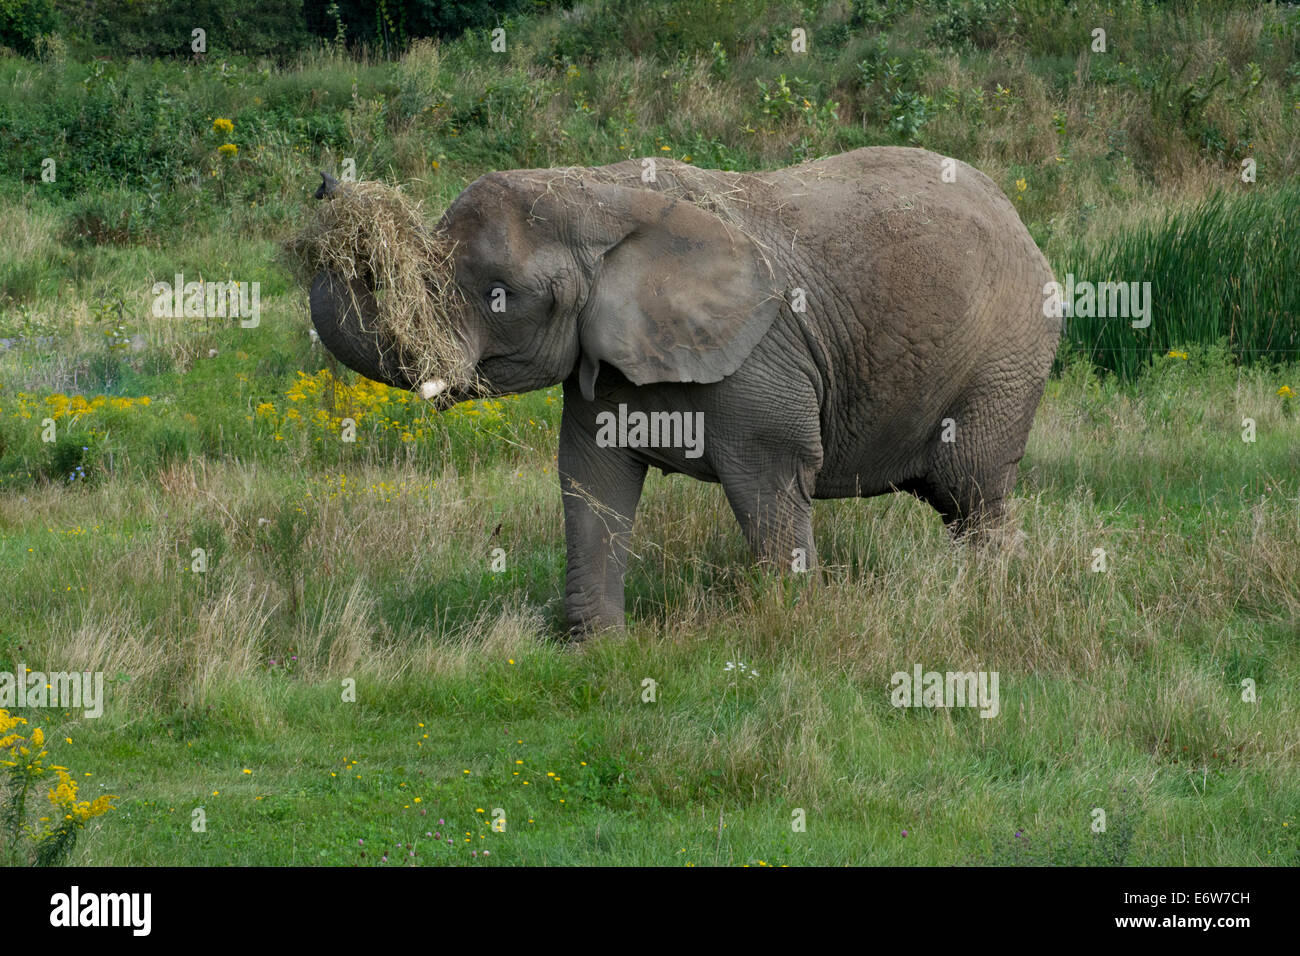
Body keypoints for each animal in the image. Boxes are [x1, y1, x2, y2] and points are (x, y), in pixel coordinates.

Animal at [307, 147, 1061, 634]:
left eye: (500, 294)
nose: (327, 185)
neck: (602, 196)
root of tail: (1018, 217)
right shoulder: (603, 363)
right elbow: (590, 480)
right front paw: (596, 649)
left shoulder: (761, 362)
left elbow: (771, 481)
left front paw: (789, 628)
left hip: (1007, 354)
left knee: (972, 488)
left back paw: (985, 601)